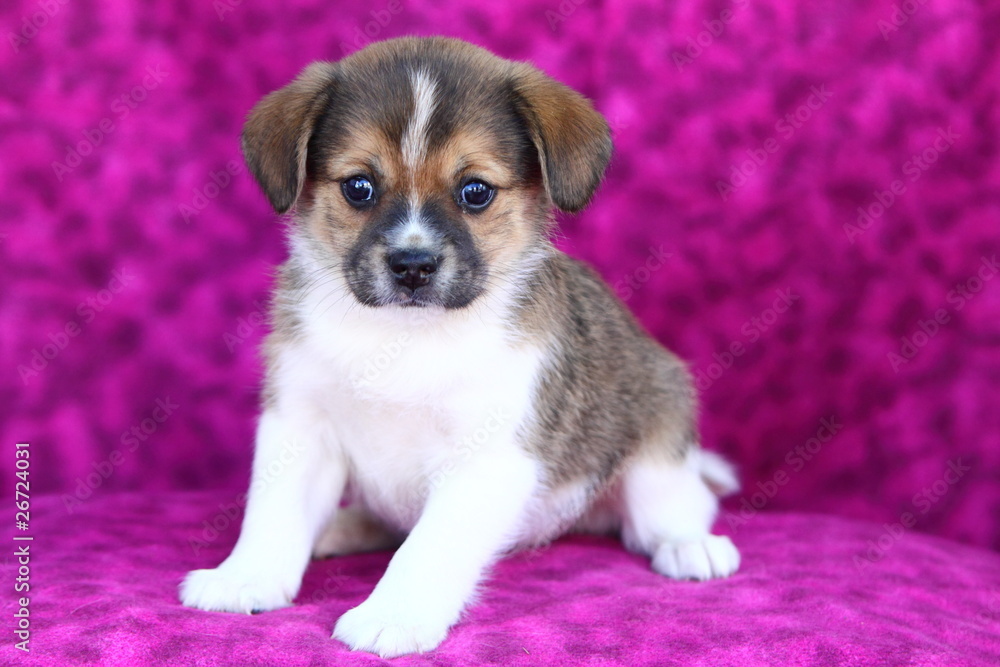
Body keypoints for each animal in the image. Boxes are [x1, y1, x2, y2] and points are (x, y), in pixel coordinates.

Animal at [182, 36, 744, 656]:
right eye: (359, 187)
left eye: (475, 192)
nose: (412, 265)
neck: (404, 337)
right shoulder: (300, 425)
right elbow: (273, 513)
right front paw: (246, 577)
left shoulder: (487, 456)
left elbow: (427, 547)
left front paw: (395, 613)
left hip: (655, 446)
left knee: (676, 506)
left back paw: (690, 543)